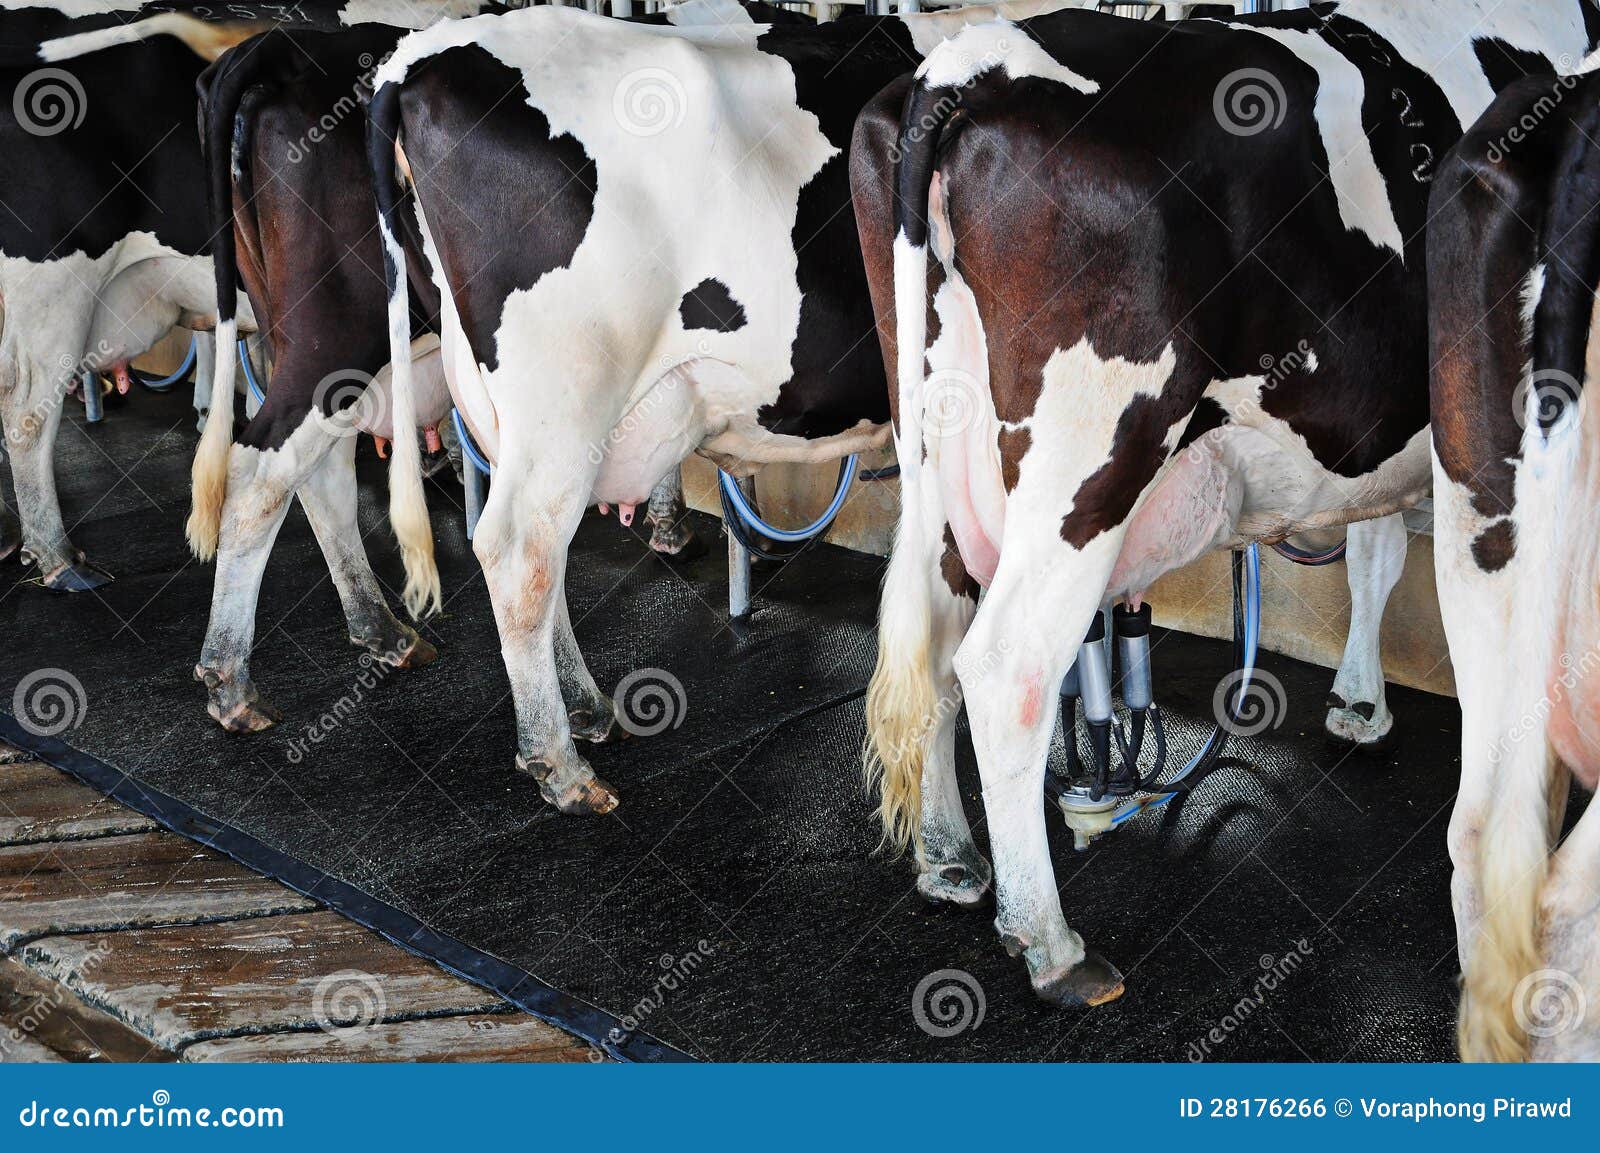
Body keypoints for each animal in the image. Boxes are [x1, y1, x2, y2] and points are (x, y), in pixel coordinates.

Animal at [855, 1, 1596, 1009]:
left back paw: (948, 861)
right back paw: (1052, 944)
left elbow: (1373, 556)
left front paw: (1358, 704)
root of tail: (967, 67)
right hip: (1090, 456)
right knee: (1006, 668)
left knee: (931, 637)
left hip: (928, 443)